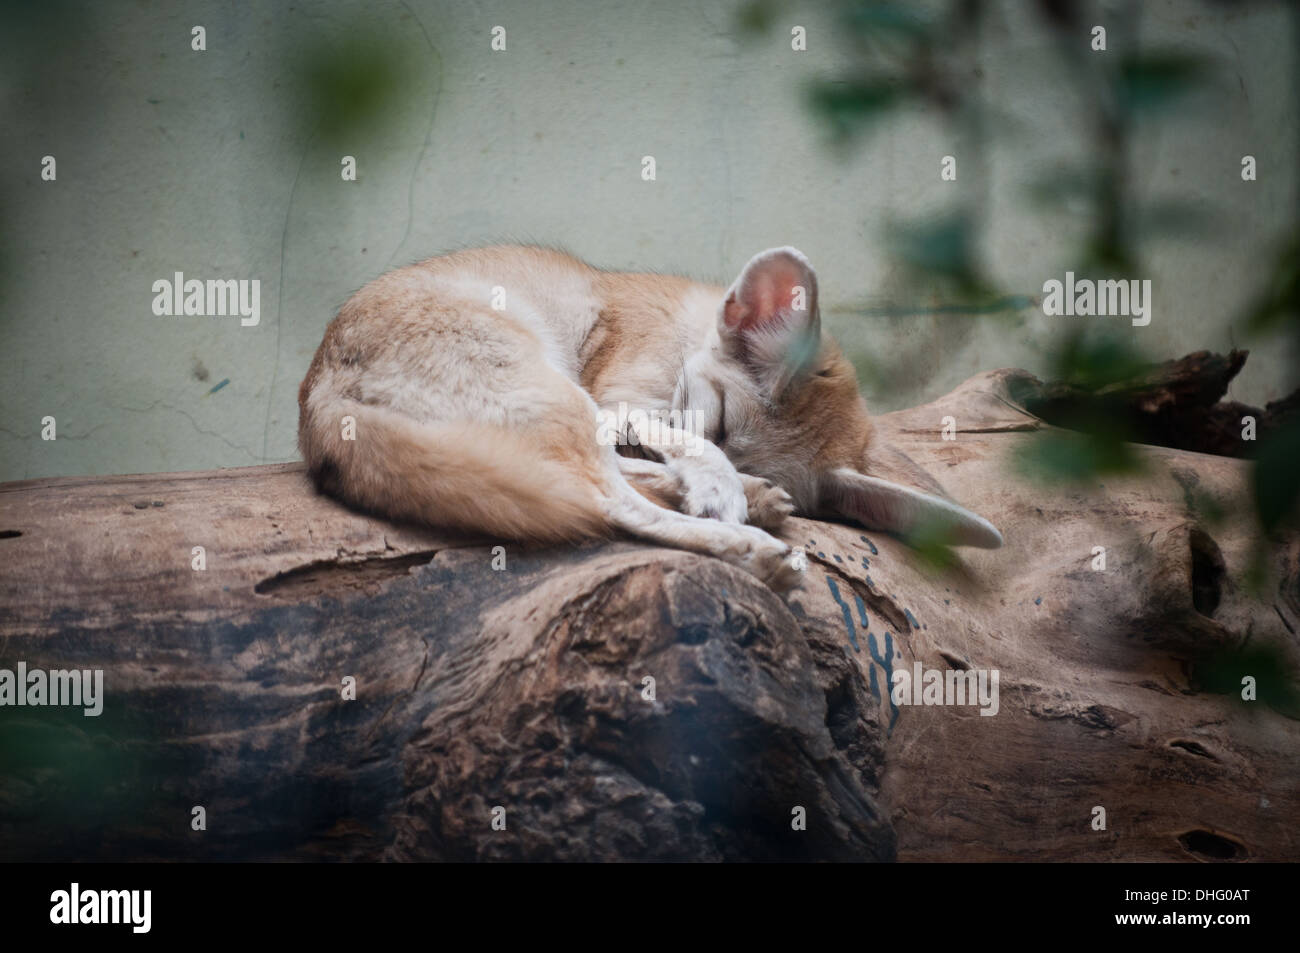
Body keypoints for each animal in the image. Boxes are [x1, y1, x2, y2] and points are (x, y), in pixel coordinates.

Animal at [297, 244, 1002, 591]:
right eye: (719, 421)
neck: (686, 327)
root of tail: (319, 402)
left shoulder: (629, 415)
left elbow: (659, 460)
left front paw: (737, 487)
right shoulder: (621, 404)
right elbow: (682, 452)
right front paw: (721, 486)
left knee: (607, 485)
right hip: (562, 396)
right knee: (607, 500)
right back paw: (746, 540)